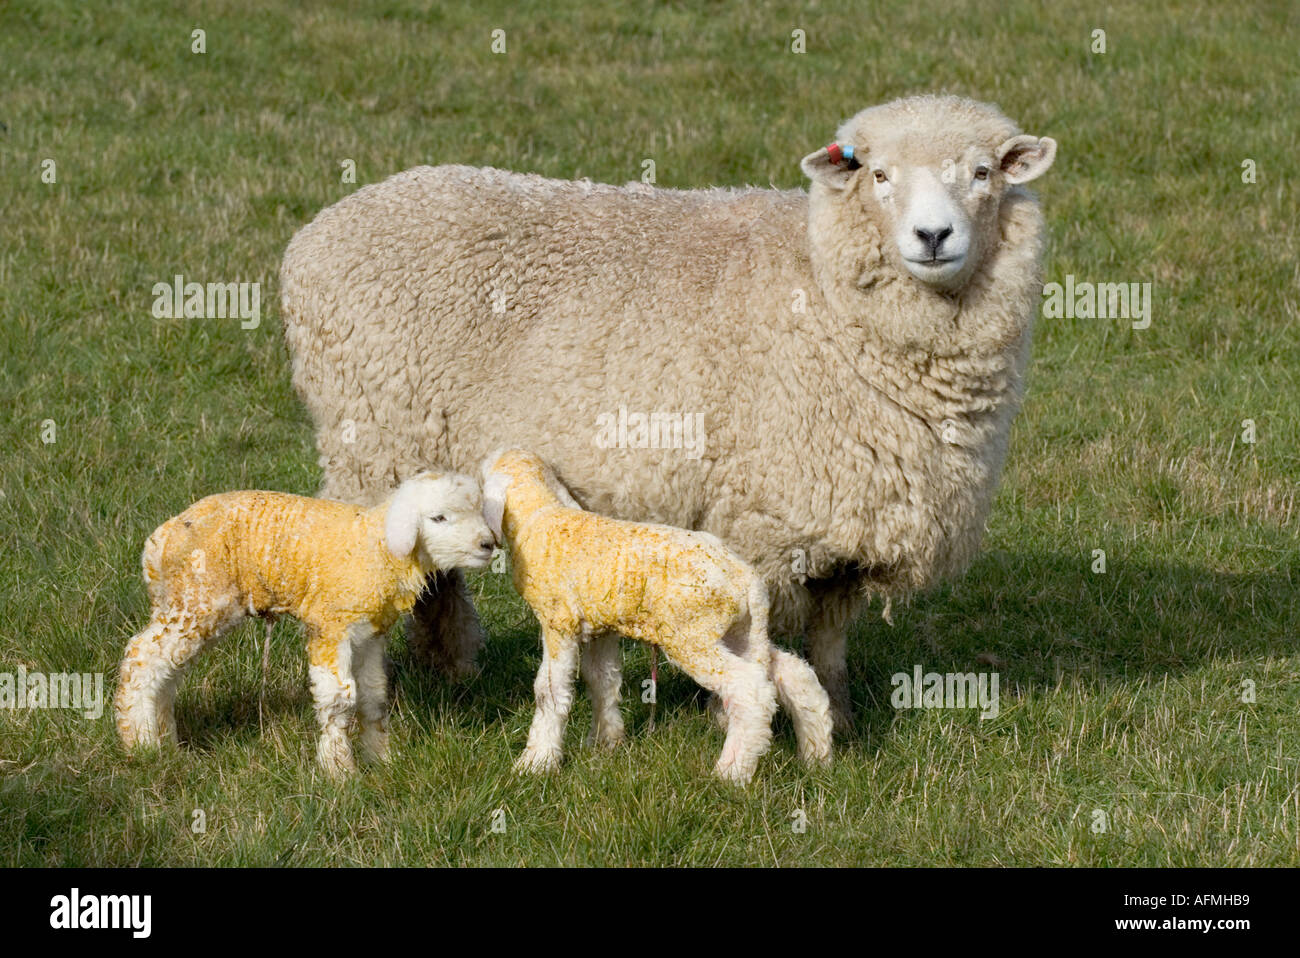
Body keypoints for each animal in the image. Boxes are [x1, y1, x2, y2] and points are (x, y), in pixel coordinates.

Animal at [114, 473, 496, 776]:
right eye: (438, 517)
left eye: (479, 510)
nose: (487, 544)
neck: (375, 547)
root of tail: (157, 543)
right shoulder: (329, 626)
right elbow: (339, 699)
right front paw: (339, 771)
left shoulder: (369, 633)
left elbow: (374, 695)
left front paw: (381, 760)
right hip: (197, 598)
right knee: (141, 658)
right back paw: (141, 744)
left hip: (184, 602)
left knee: (166, 671)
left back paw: (167, 742)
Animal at [280, 95, 1057, 730]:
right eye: (880, 176)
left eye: (983, 173)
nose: (934, 236)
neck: (819, 284)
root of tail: (314, 235)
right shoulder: (768, 519)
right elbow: (761, 641)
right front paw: (737, 719)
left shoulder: (845, 522)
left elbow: (830, 643)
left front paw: (838, 718)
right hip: (368, 440)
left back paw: (453, 667)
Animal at [482, 449, 832, 784]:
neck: (540, 515)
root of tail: (746, 579)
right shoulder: (600, 626)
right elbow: (603, 680)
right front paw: (605, 742)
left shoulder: (558, 622)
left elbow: (549, 692)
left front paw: (536, 763)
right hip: (738, 632)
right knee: (794, 674)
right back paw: (816, 756)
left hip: (691, 634)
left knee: (751, 689)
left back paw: (731, 773)